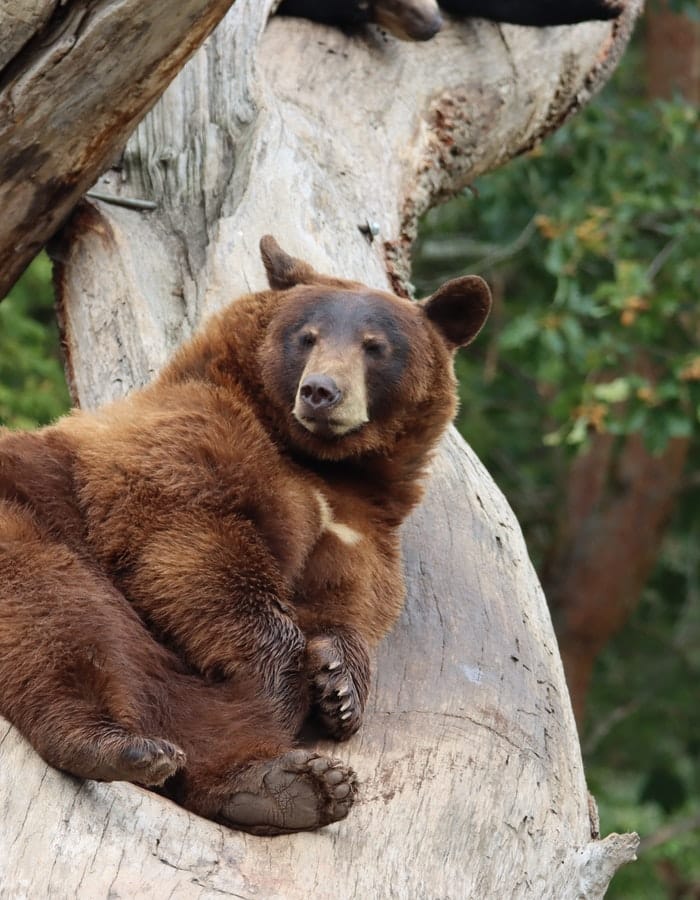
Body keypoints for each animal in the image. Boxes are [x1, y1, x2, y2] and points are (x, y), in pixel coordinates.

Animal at [0, 236, 491, 835]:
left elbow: (350, 600)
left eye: (375, 346)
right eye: (307, 336)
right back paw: (117, 746)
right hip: (26, 525)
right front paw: (282, 680)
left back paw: (287, 787)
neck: (321, 462)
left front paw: (339, 687)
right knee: (59, 615)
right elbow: (195, 542)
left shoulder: (359, 525)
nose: (321, 391)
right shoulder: (188, 441)